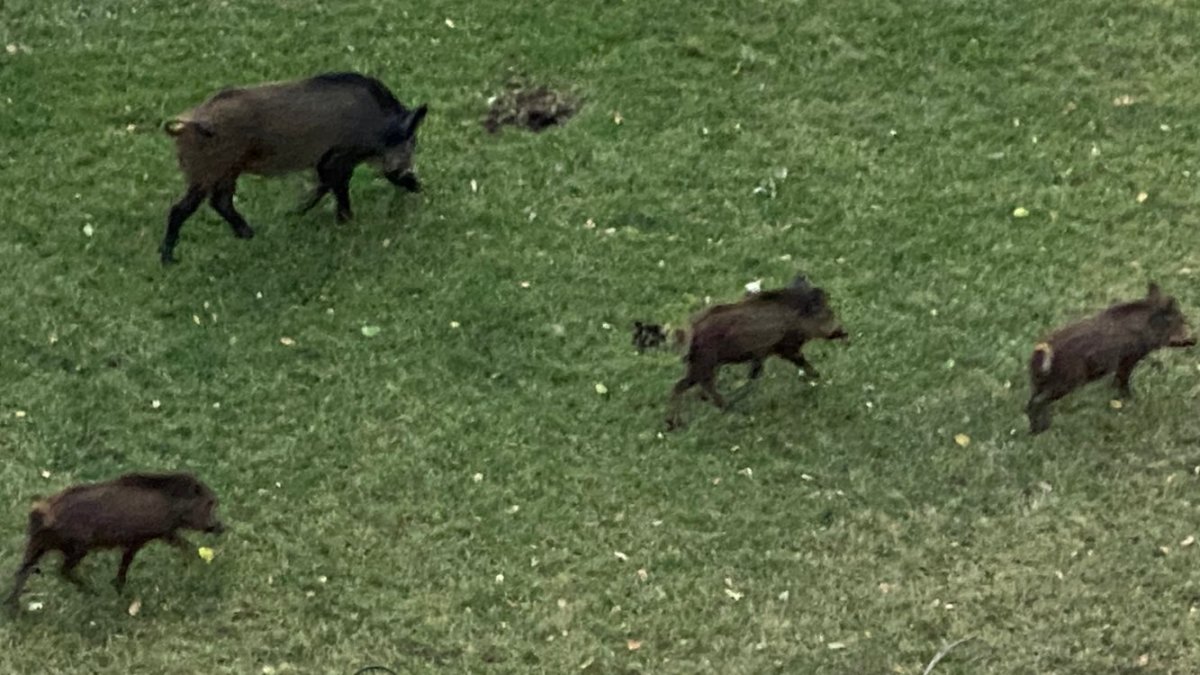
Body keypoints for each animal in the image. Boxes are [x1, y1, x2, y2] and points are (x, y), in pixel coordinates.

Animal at [4, 472, 224, 611]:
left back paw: (13, 608)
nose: (221, 527)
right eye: (210, 503)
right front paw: (199, 560)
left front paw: (118, 587)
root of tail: (41, 512)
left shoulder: (136, 540)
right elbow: (183, 544)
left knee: (23, 570)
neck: (171, 502)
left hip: (37, 544)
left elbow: (125, 563)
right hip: (77, 547)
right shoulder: (156, 533)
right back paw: (92, 590)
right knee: (62, 570)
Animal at [160, 72, 429, 264]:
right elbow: (336, 187)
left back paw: (249, 234)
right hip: (206, 173)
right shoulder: (338, 158)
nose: (418, 186)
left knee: (220, 202)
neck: (377, 128)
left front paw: (294, 212)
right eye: (412, 141)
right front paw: (346, 221)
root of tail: (185, 124)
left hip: (227, 172)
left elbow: (323, 186)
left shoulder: (327, 162)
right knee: (181, 208)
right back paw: (169, 259)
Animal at [664, 274, 849, 429]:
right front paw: (818, 377)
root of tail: (689, 330)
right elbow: (801, 361)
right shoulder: (786, 347)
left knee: (697, 385)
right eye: (827, 312)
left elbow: (755, 373)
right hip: (703, 363)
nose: (843, 332)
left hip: (704, 365)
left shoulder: (762, 354)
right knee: (682, 386)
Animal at [1026, 282, 1196, 434]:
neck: (1145, 328)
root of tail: (1041, 352)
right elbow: (1123, 380)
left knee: (1029, 403)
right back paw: (1040, 430)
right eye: (1181, 320)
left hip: (1039, 384)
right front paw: (1131, 400)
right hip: (1066, 382)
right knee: (1036, 402)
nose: (1194, 339)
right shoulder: (1128, 358)